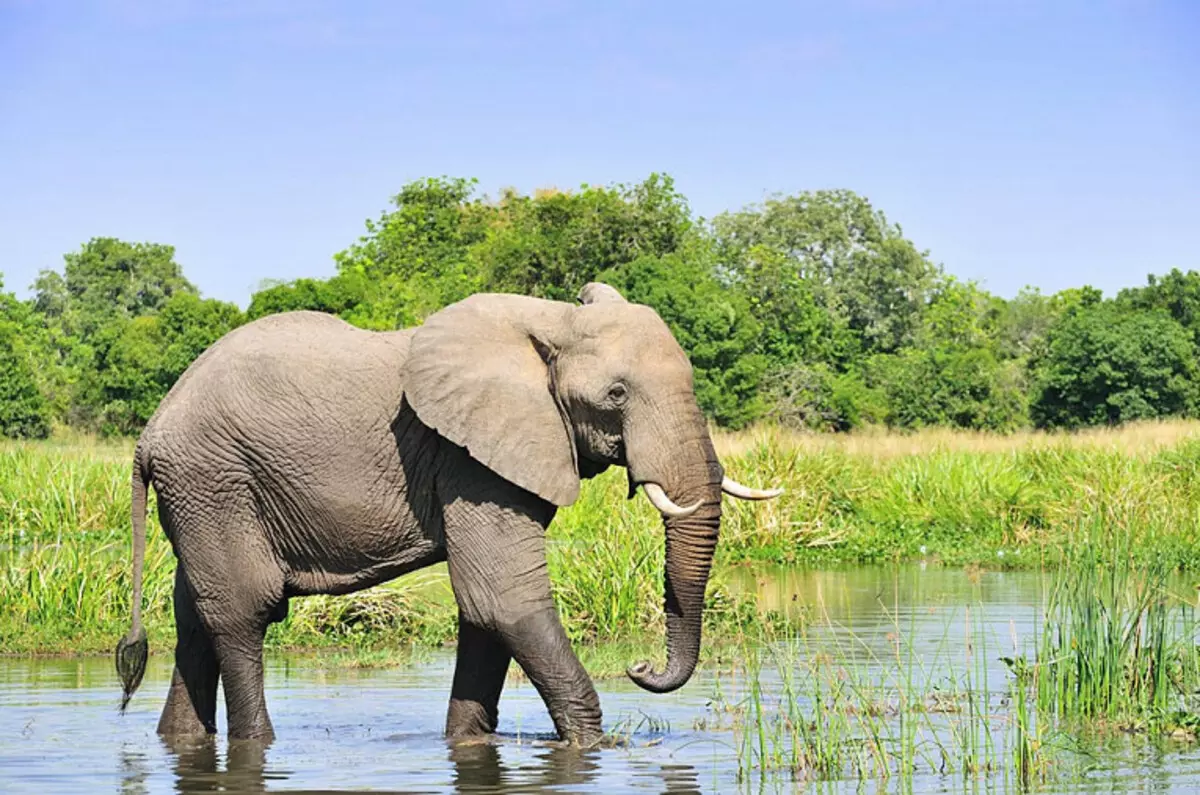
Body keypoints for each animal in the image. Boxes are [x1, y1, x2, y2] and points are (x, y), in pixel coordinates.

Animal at [117, 282, 782, 749]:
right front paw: (597, 749)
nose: (640, 667)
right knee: (243, 612)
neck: (549, 322)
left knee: (194, 617)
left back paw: (178, 739)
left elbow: (484, 611)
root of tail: (149, 435)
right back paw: (259, 741)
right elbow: (504, 599)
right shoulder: (470, 457)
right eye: (616, 395)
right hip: (215, 480)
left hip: (203, 492)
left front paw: (468, 743)